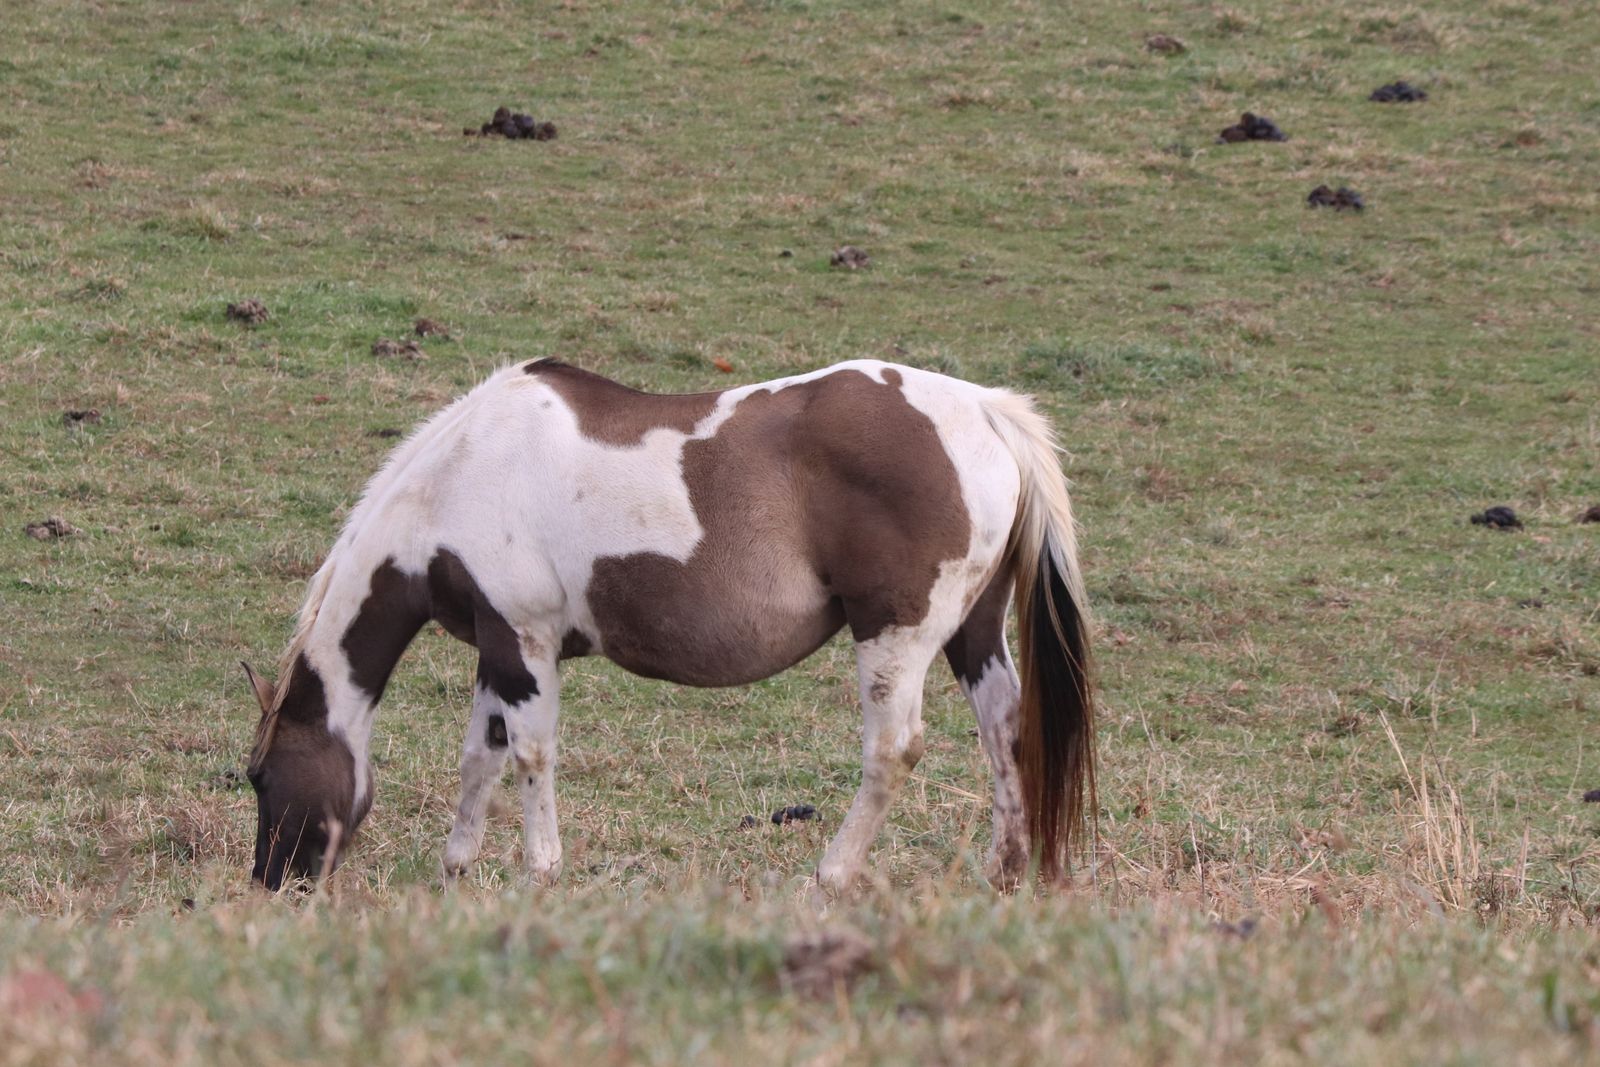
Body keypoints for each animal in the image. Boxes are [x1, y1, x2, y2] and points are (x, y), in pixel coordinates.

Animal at [241, 358, 1095, 892]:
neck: (464, 473)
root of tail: (983, 408)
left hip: (896, 634)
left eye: (259, 777)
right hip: (973, 633)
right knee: (1004, 731)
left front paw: (538, 871)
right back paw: (1003, 872)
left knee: (893, 751)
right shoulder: (497, 645)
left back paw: (832, 875)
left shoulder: (526, 644)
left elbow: (529, 755)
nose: (272, 881)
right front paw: (456, 869)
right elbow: (479, 756)